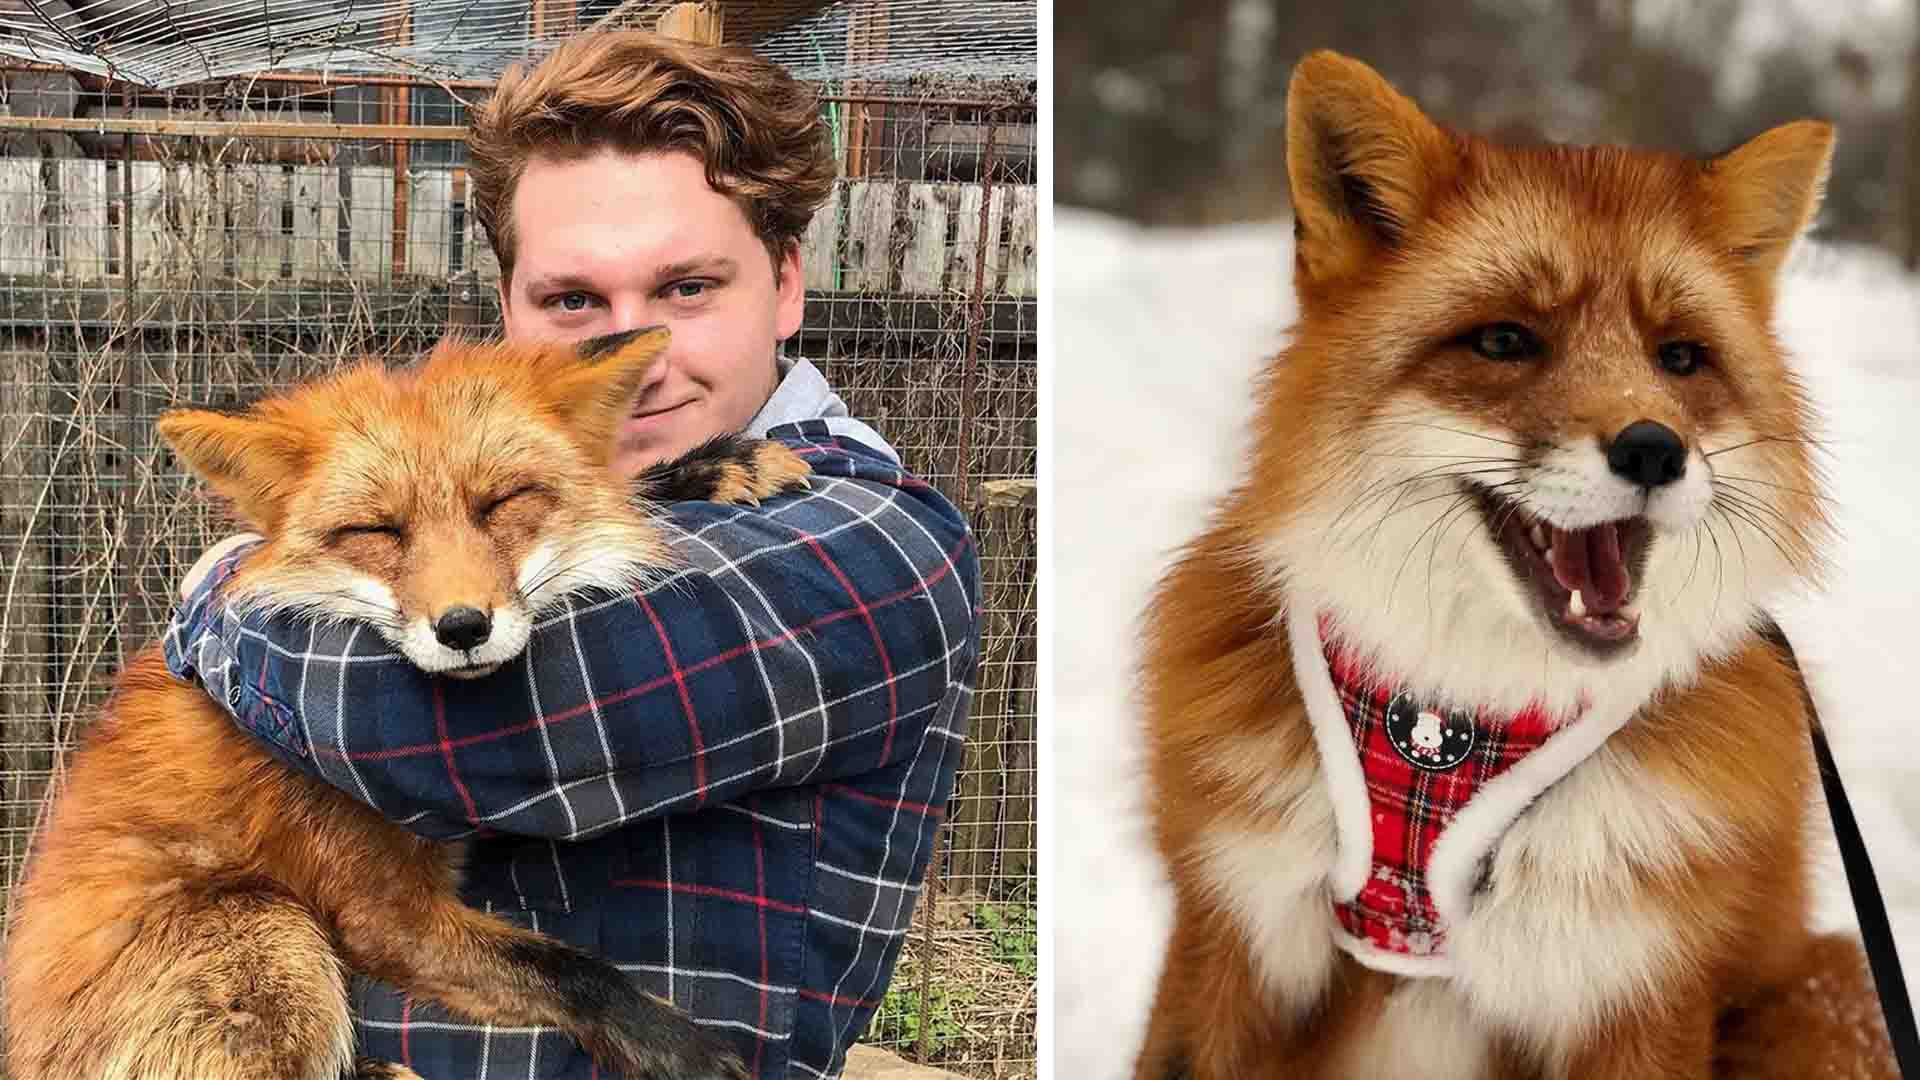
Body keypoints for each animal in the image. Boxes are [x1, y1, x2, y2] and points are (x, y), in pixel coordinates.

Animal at [2, 327, 811, 1080]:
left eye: (503, 503)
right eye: (376, 530)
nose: (463, 627)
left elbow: (619, 491)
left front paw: (710, 467)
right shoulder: (383, 916)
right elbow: (568, 969)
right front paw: (684, 1050)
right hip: (272, 925)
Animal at [1130, 51, 1899, 1080]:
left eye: (1680, 358)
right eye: (1504, 340)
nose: (1655, 451)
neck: (1460, 706)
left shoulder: (1631, 981)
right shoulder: (1233, 923)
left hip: (1828, 990)